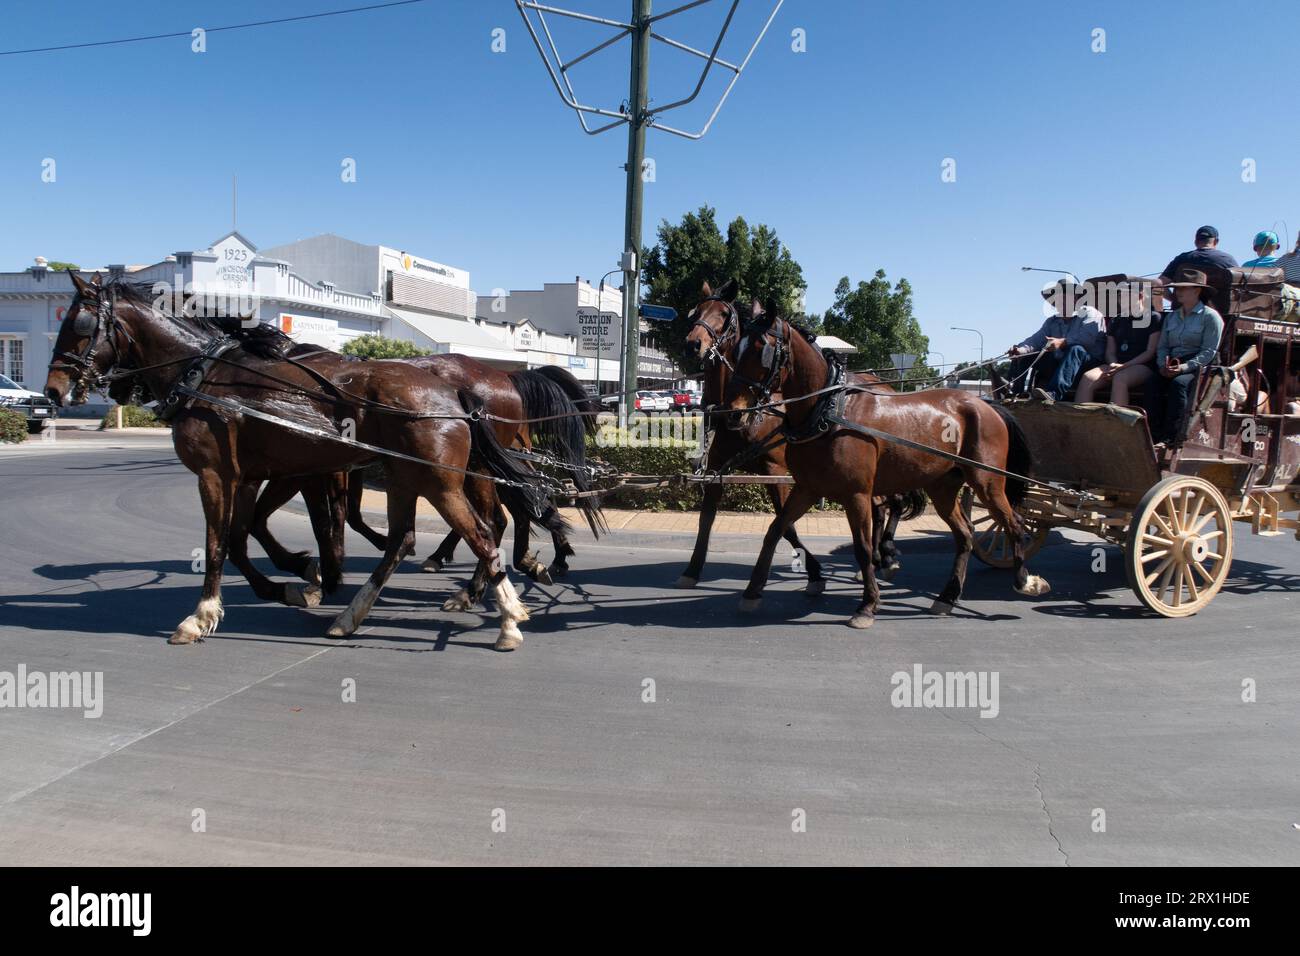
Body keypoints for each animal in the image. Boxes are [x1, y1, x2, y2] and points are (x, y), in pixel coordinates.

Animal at [45, 272, 562, 651]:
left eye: (80, 325)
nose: (53, 388)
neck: (207, 375)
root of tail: (455, 392)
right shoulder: (253, 475)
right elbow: (241, 538)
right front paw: (293, 582)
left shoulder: (222, 474)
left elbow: (219, 543)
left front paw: (202, 614)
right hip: (409, 478)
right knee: (409, 540)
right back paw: (355, 614)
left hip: (440, 481)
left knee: (482, 535)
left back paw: (505, 617)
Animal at [681, 280, 924, 589]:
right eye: (696, 311)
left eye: (724, 315)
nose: (693, 343)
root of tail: (885, 386)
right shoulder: (717, 468)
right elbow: (707, 518)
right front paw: (692, 569)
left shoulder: (776, 471)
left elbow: (787, 527)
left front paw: (815, 570)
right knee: (880, 506)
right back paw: (875, 559)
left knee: (894, 501)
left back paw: (886, 554)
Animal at [716, 306, 1050, 628]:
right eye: (737, 348)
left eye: (761, 349)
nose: (733, 413)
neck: (830, 411)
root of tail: (985, 404)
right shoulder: (807, 488)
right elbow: (775, 531)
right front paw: (752, 592)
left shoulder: (857, 495)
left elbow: (863, 547)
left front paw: (867, 604)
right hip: (942, 487)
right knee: (965, 534)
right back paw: (947, 596)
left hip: (987, 481)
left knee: (1014, 523)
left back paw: (1024, 580)